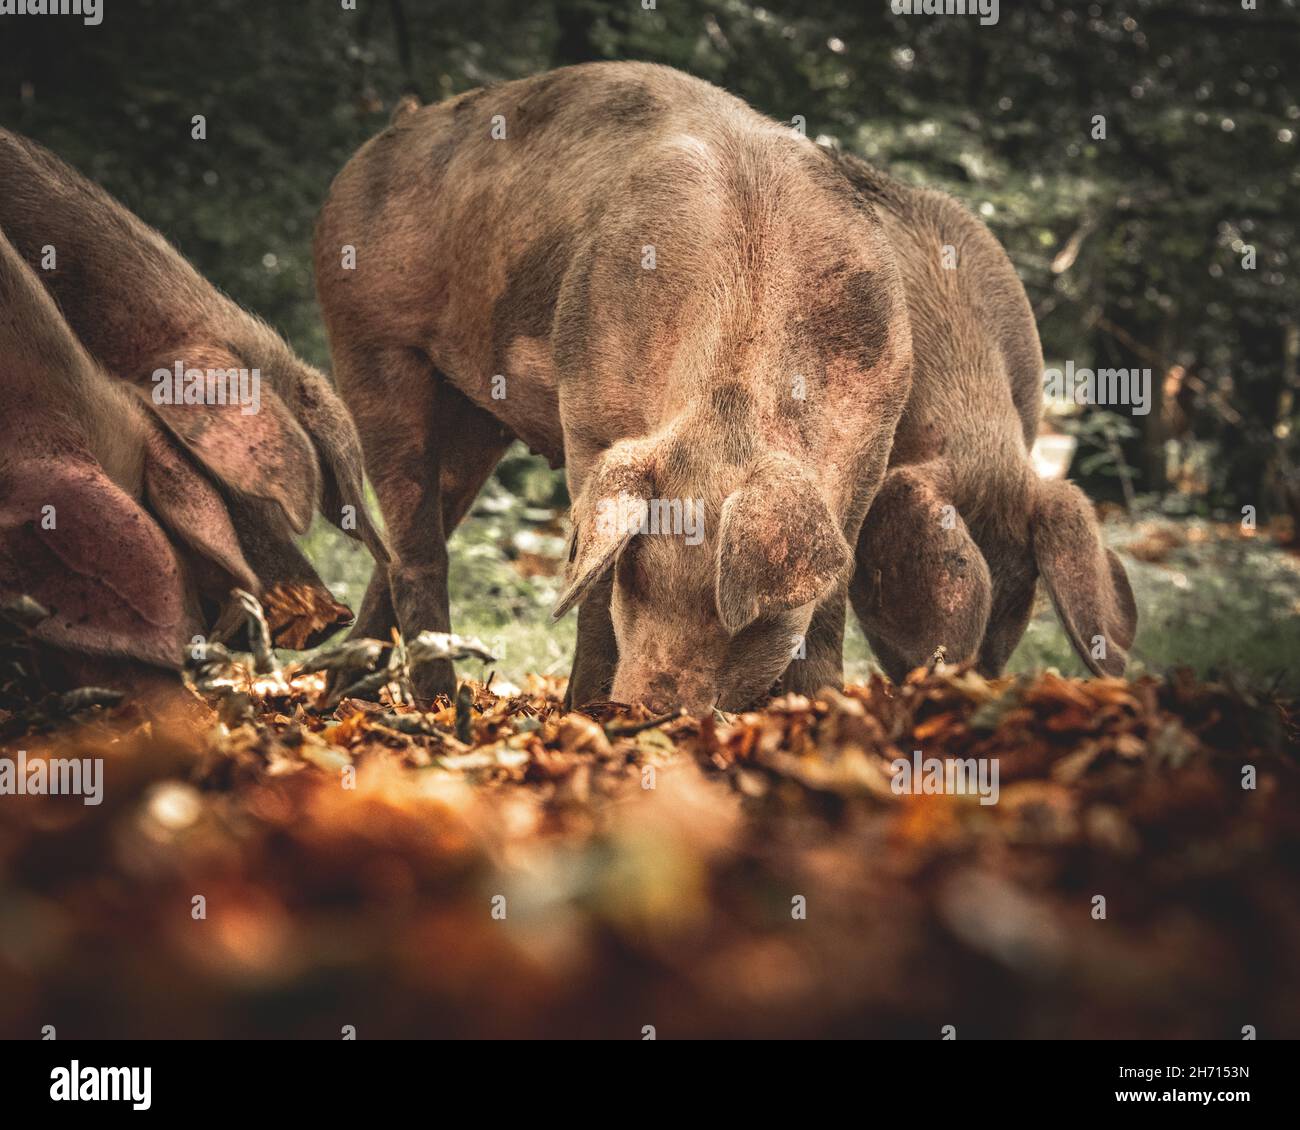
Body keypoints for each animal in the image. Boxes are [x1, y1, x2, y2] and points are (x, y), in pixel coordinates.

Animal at [315, 62, 913, 712]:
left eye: (736, 617)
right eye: (637, 573)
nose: (644, 706)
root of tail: (388, 134)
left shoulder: (873, 443)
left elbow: (828, 610)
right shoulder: (589, 415)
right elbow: (592, 584)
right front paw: (583, 712)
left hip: (477, 414)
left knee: (406, 545)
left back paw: (343, 700)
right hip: (368, 343)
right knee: (418, 550)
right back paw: (439, 706)